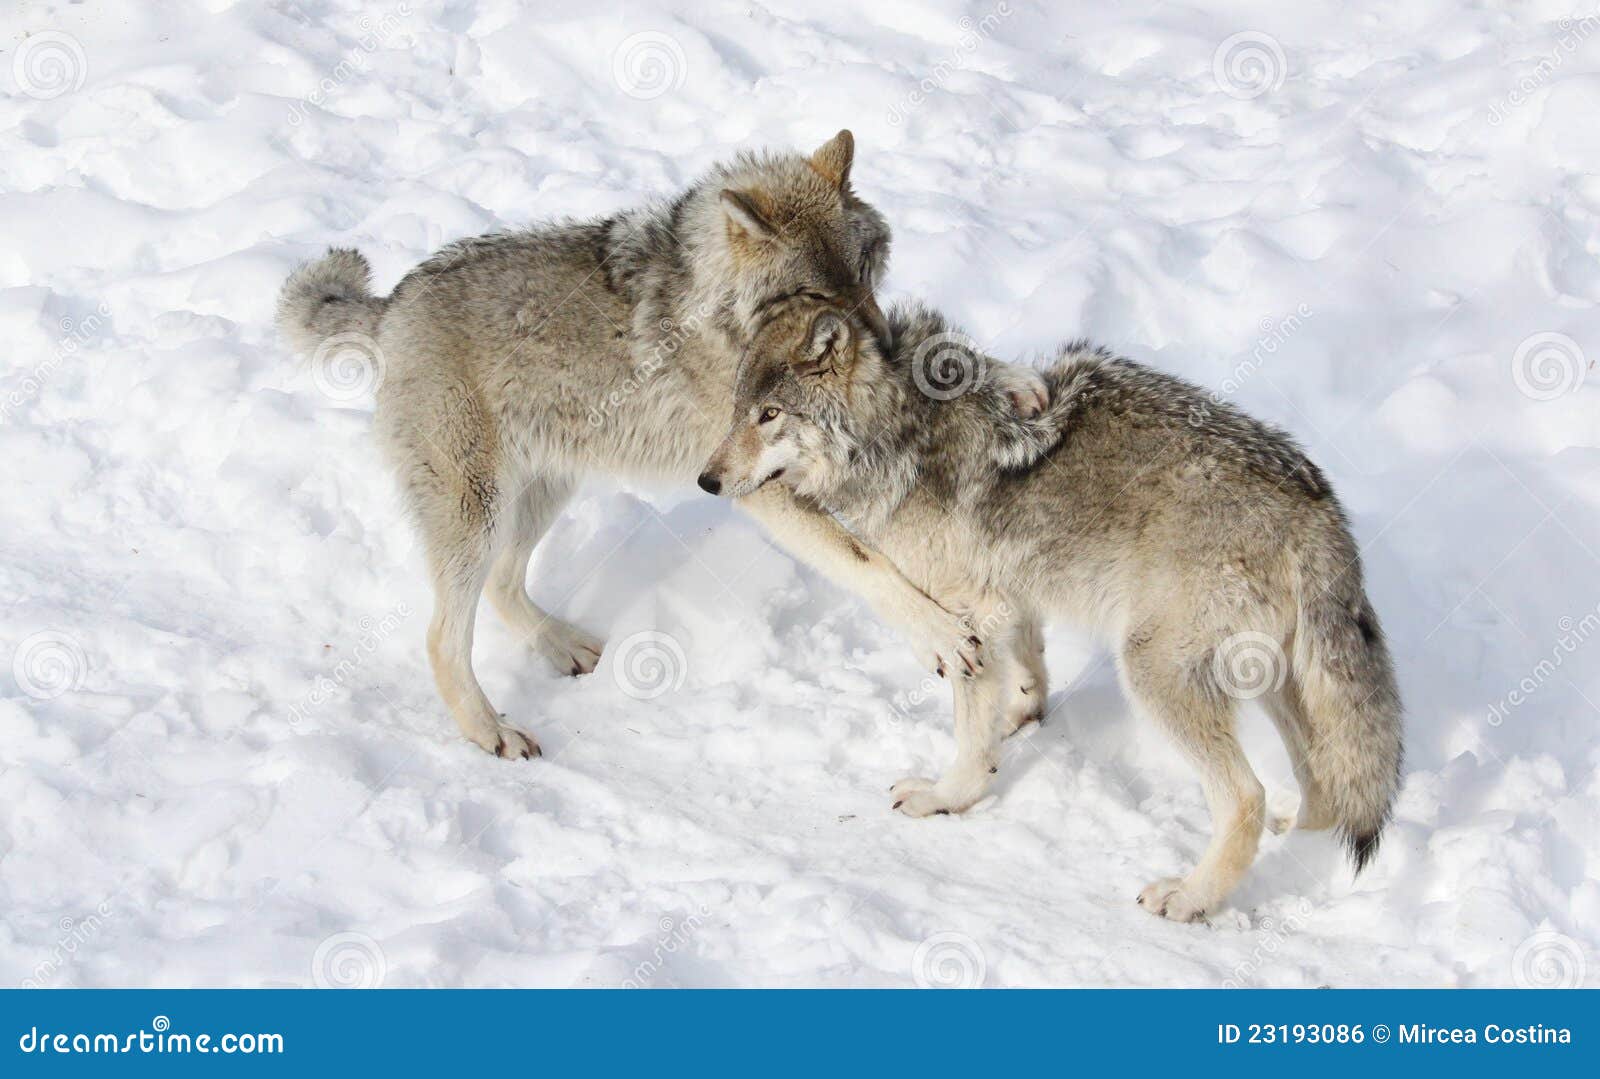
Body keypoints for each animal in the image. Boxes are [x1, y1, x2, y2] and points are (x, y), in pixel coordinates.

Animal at [277, 133, 1044, 760]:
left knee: (503, 584)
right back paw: (491, 730)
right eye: (815, 292)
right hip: (475, 511)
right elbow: (867, 563)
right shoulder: (756, 483)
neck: (724, 310)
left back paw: (561, 644)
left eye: (863, 272)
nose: (879, 342)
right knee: (444, 637)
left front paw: (1014, 380)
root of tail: (391, 305)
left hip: (543, 492)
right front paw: (938, 633)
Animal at [698, 297, 1404, 921]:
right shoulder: (1008, 598)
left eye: (769, 414)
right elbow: (1026, 668)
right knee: (1324, 782)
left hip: (1152, 670)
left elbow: (967, 731)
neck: (898, 432)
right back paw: (1299, 847)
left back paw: (1190, 897)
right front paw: (1020, 718)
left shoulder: (967, 612)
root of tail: (1318, 507)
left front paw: (948, 798)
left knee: (1247, 797)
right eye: (736, 412)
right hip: (1277, 684)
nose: (707, 481)